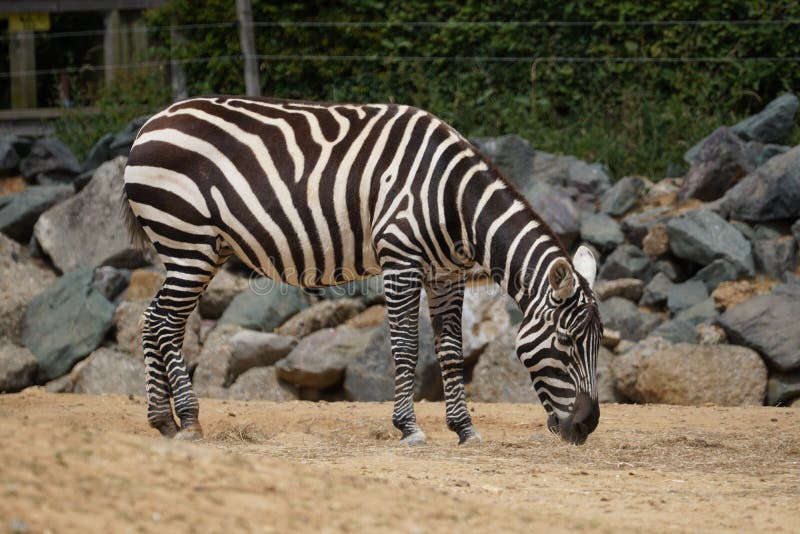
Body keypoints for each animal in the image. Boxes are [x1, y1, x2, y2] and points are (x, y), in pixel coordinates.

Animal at [122, 96, 602, 445]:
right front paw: (409, 427)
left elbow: (451, 351)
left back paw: (163, 420)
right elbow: (407, 347)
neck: (455, 201)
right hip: (188, 242)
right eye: (565, 342)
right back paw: (189, 419)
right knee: (165, 323)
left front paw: (465, 429)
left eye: (596, 343)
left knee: (153, 319)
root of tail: (150, 123)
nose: (588, 426)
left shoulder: (447, 275)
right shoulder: (400, 260)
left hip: (196, 249)